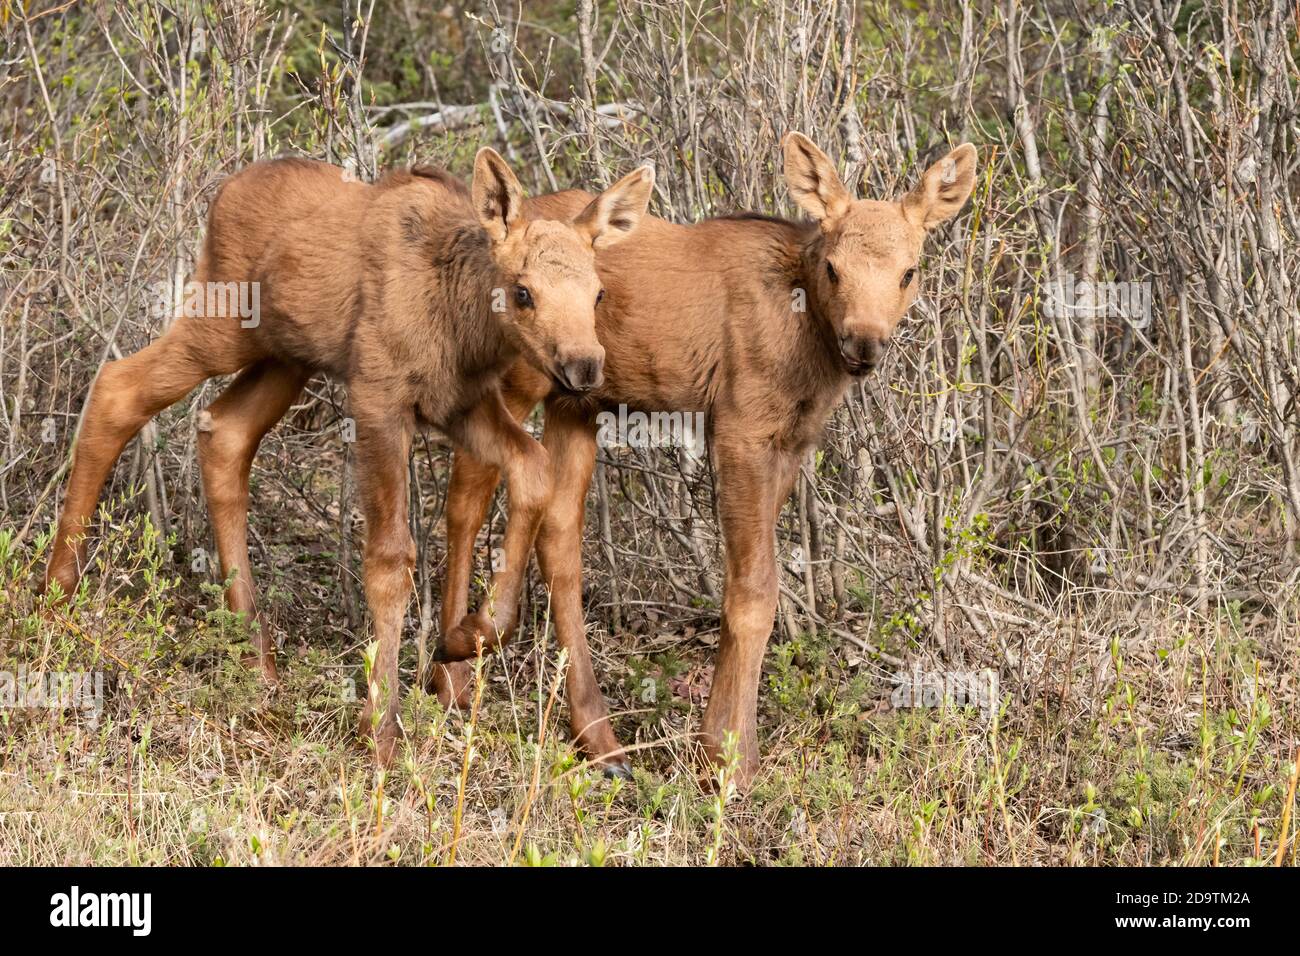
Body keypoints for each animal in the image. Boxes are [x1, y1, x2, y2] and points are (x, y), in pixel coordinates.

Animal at [40, 148, 655, 765]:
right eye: (524, 291)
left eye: (598, 293)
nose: (584, 367)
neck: (468, 326)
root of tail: (225, 194)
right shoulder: (379, 398)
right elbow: (390, 558)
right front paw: (379, 731)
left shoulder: (461, 405)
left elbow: (532, 469)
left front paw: (465, 637)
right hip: (222, 324)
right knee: (118, 388)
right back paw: (56, 595)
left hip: (285, 357)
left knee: (224, 432)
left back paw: (257, 656)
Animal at [429, 134, 980, 786]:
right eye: (834, 268)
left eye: (908, 272)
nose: (863, 344)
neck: (808, 344)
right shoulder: (740, 426)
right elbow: (755, 591)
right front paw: (726, 757)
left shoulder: (791, 443)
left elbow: (751, 584)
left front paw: (726, 743)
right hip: (517, 378)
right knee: (468, 492)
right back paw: (453, 669)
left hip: (578, 400)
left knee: (559, 533)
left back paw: (597, 736)